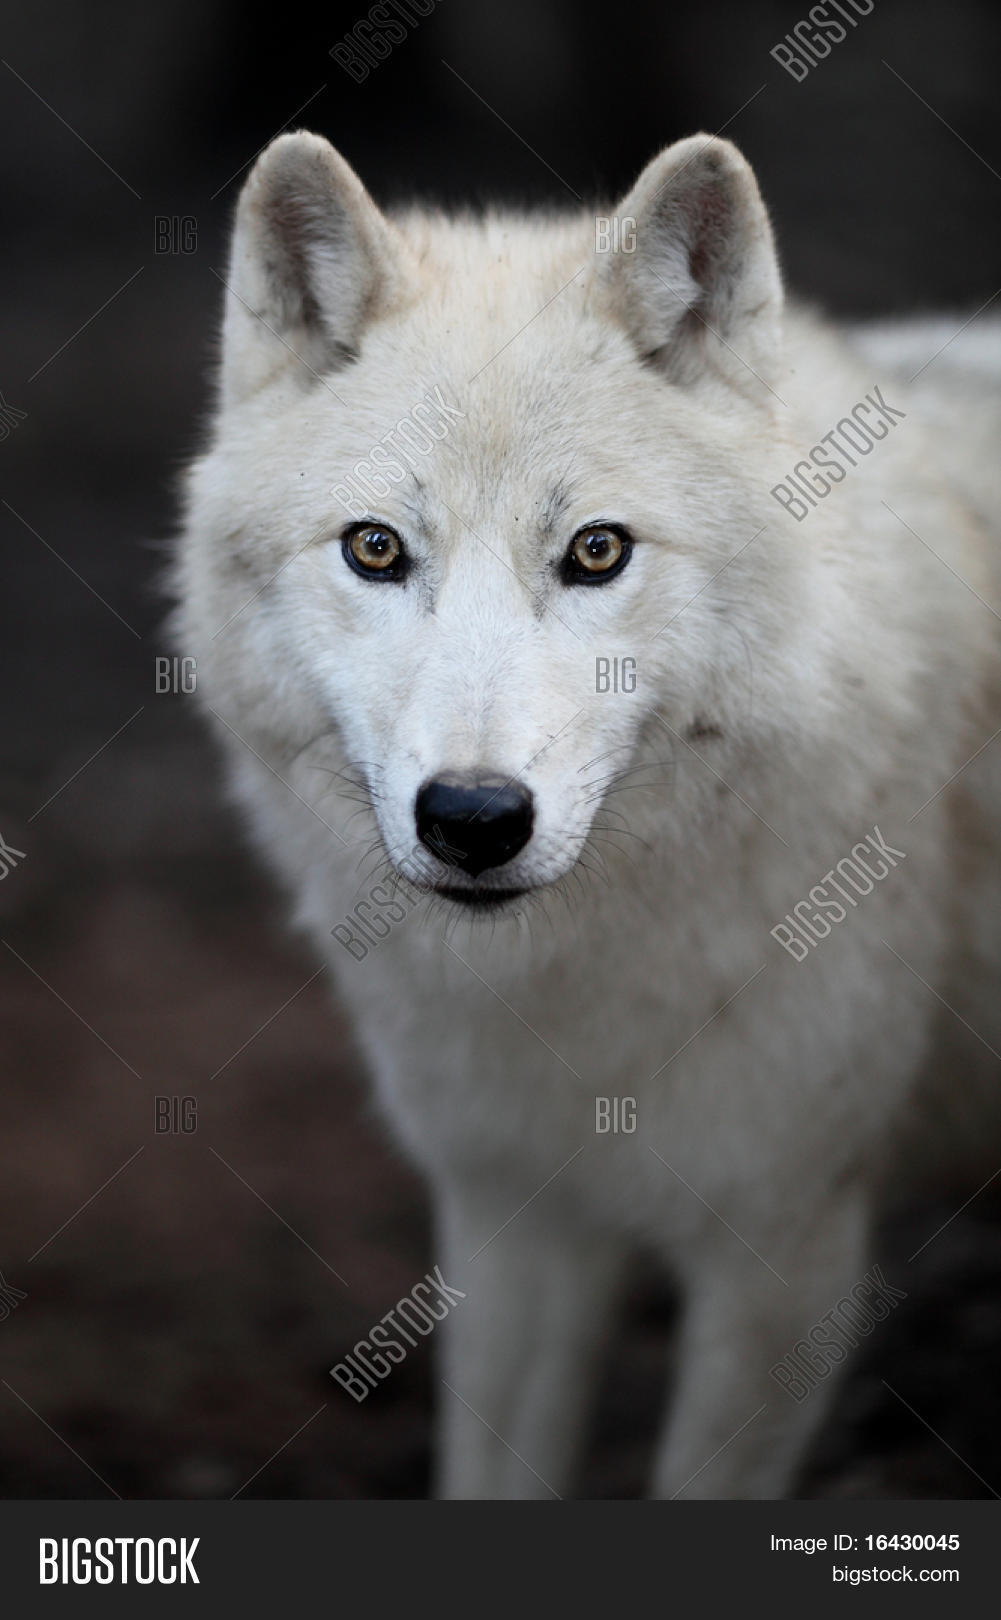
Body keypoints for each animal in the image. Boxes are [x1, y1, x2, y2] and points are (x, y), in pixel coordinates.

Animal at [175, 128, 1001, 1497]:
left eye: (597, 552)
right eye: (375, 549)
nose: (470, 816)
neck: (572, 994)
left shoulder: (783, 1250)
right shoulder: (512, 1216)